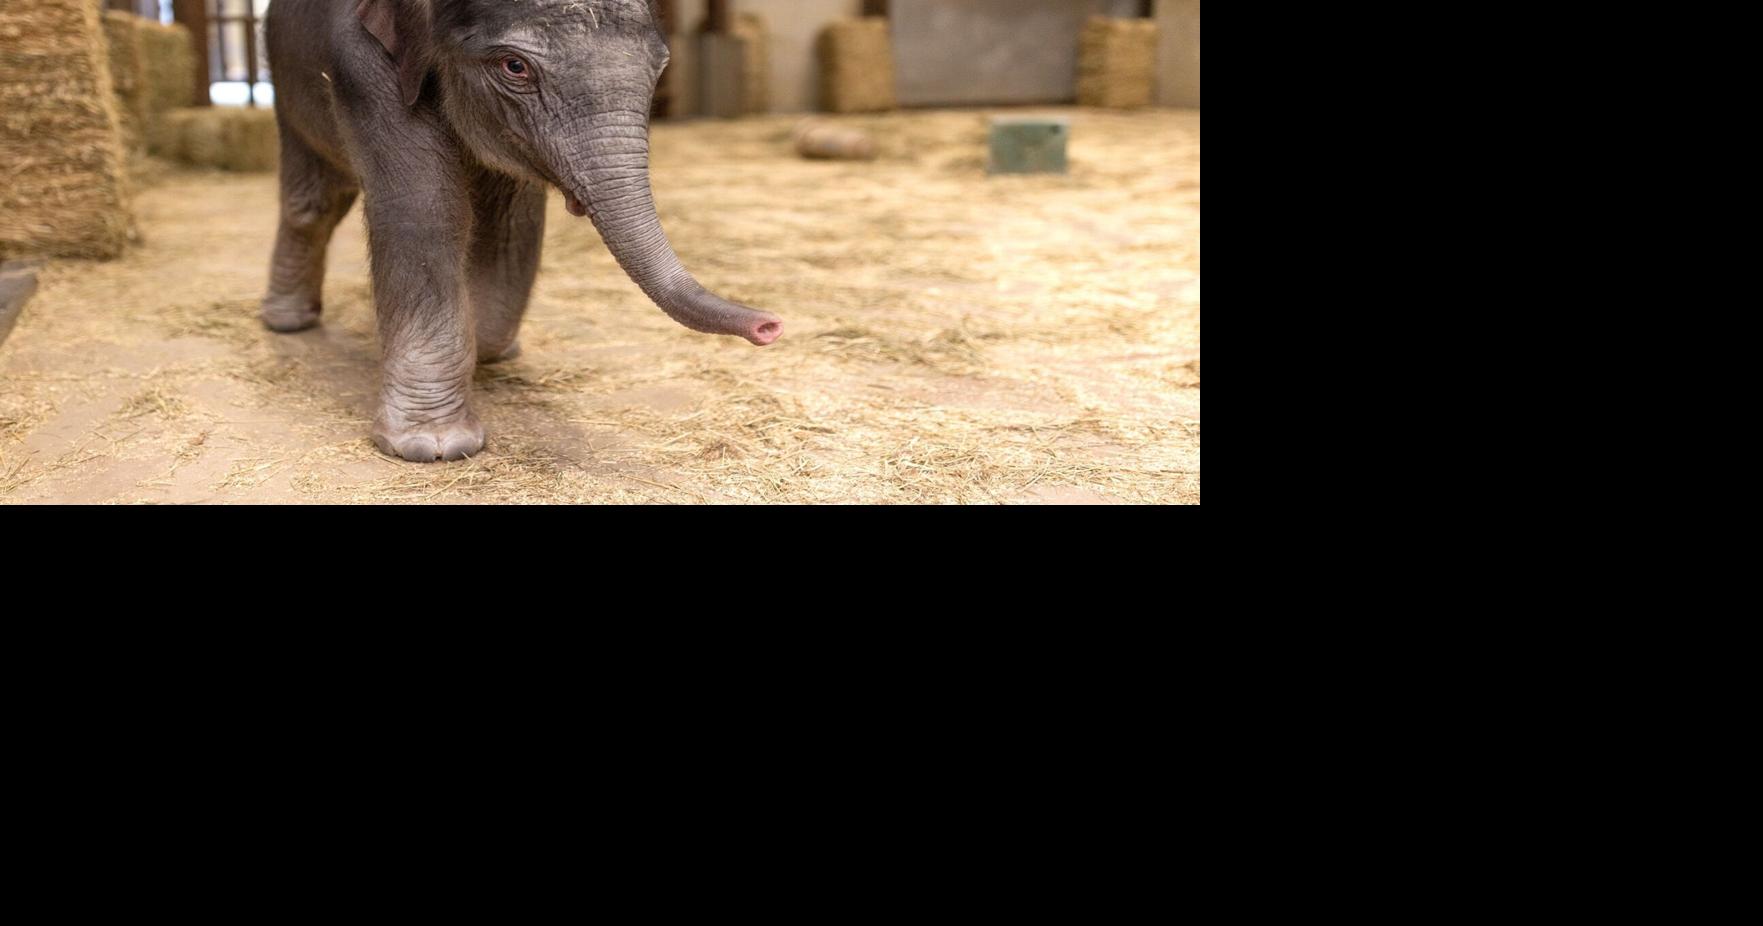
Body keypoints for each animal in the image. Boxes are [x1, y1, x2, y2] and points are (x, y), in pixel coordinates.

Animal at [260, 0, 783, 462]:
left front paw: (485, 350)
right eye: (515, 67)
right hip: (284, 81)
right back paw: (287, 323)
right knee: (314, 201)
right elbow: (425, 207)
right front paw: (433, 447)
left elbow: (509, 215)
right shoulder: (364, 65)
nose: (769, 326)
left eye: (660, 68)